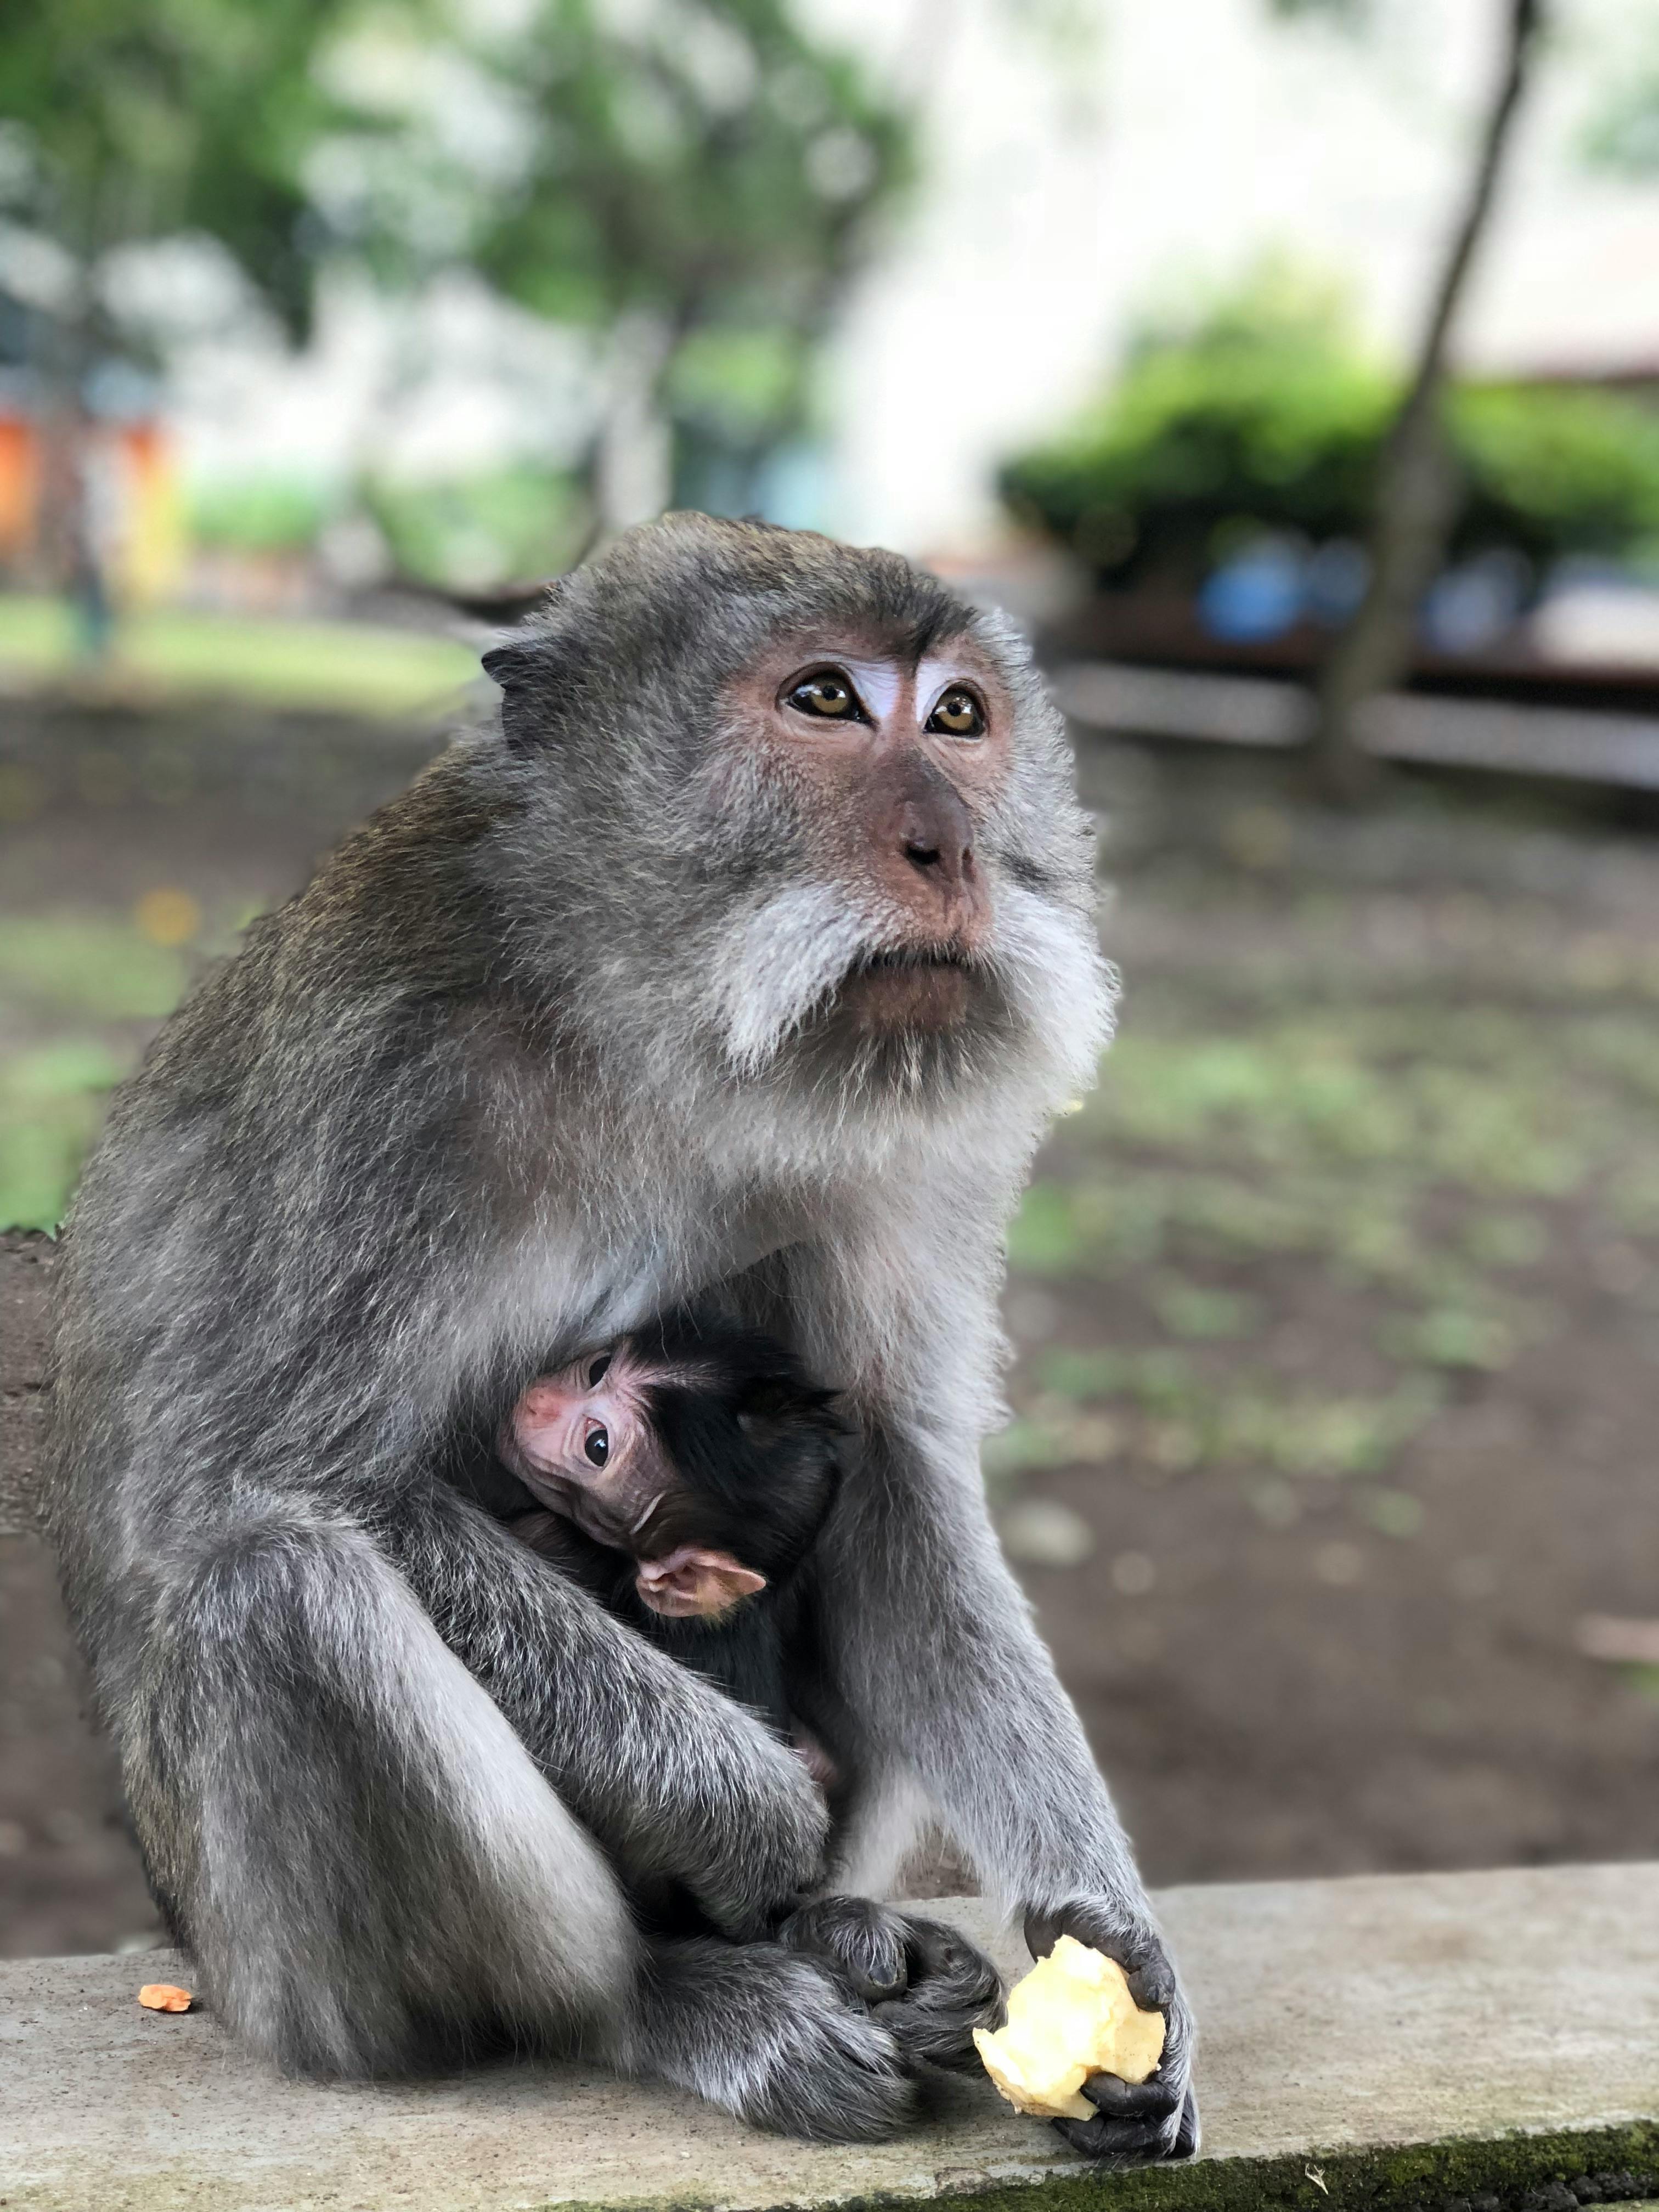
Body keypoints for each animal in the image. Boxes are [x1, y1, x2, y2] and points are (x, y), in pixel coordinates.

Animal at [45, 513, 1196, 2159]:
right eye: (827, 700)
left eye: (961, 716)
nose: (953, 849)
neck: (651, 1022)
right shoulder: (390, 1089)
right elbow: (252, 1479)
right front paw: (737, 1802)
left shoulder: (909, 1127)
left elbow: (896, 1474)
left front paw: (1112, 1940)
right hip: (278, 1969)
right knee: (278, 1583)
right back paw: (665, 2001)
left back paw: (846, 1940)